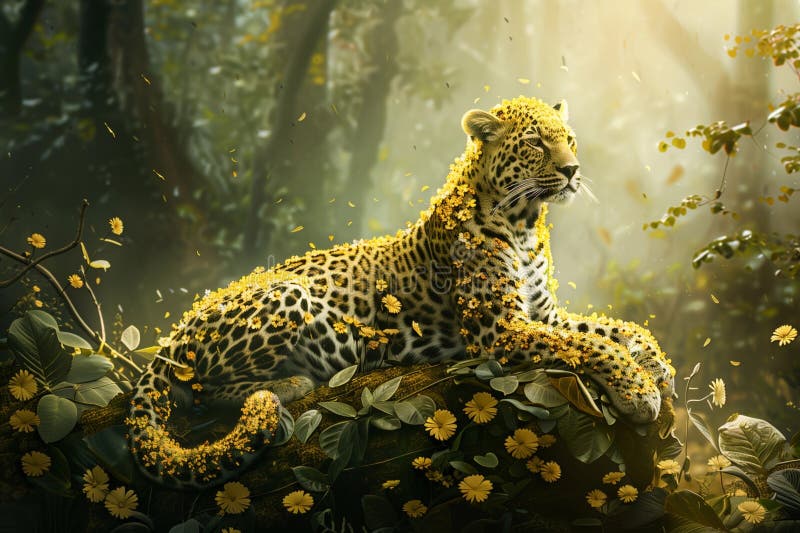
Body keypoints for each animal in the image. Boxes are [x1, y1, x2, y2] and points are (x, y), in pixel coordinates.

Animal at [127, 96, 675, 488]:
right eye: (538, 142)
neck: (524, 226)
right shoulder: (499, 331)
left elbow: (606, 330)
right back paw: (288, 386)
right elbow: (587, 344)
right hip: (287, 298)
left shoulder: (541, 314)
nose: (572, 171)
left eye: (570, 140)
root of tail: (181, 326)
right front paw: (639, 393)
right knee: (201, 393)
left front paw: (656, 364)